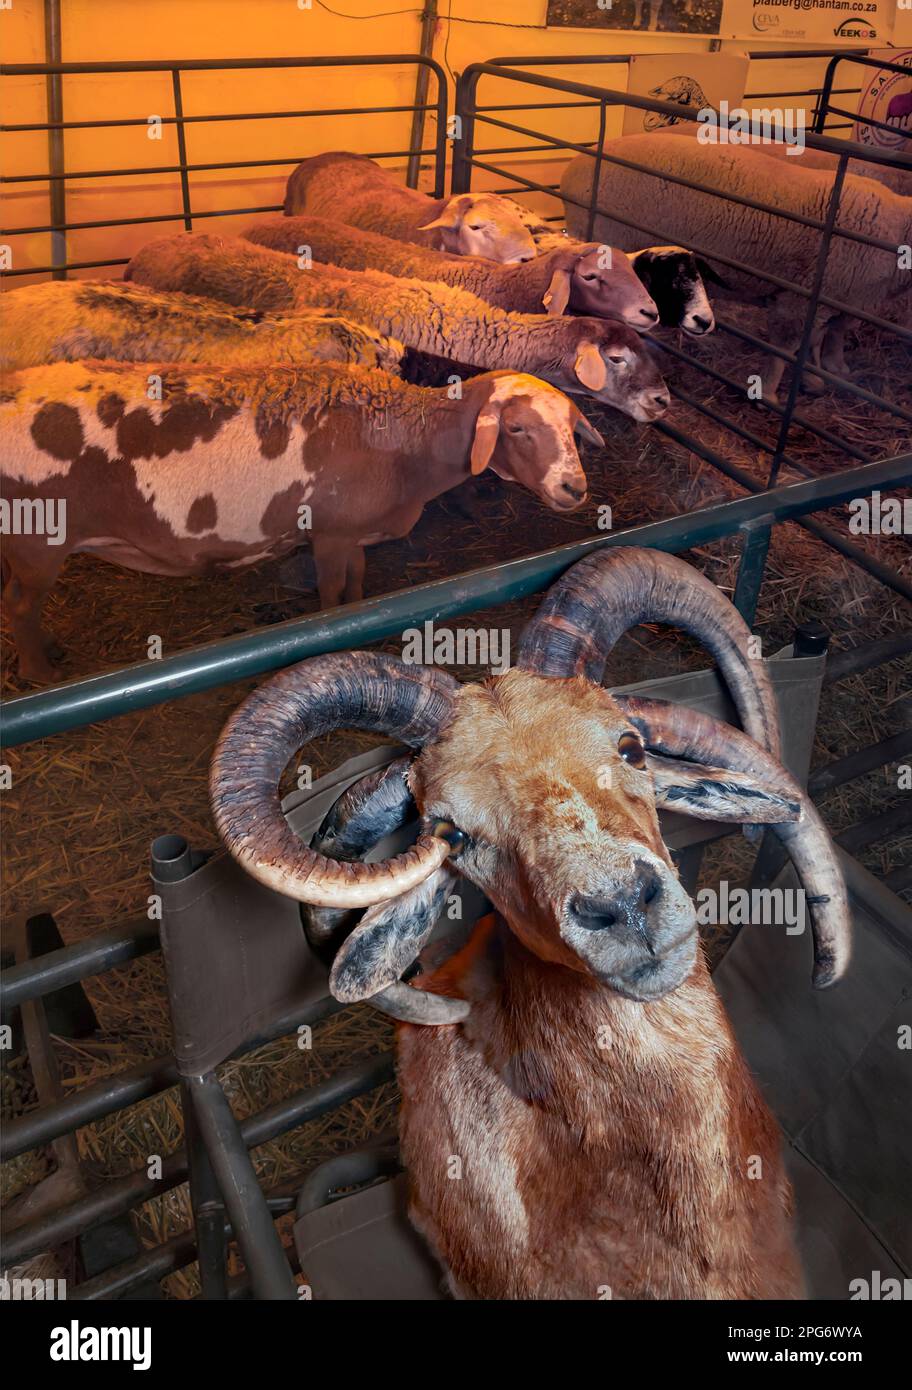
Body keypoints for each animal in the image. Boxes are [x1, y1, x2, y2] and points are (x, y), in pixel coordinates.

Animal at [0, 359, 599, 681]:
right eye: (517, 429)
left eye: (571, 426)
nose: (575, 488)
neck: (406, 444)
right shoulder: (330, 534)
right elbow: (332, 597)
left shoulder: (352, 534)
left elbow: (358, 588)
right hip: (37, 537)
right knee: (21, 606)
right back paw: (40, 672)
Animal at [559, 133, 912, 397]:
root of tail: (576, 166)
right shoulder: (801, 298)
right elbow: (786, 346)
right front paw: (769, 392)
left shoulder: (837, 299)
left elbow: (819, 338)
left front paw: (821, 375)